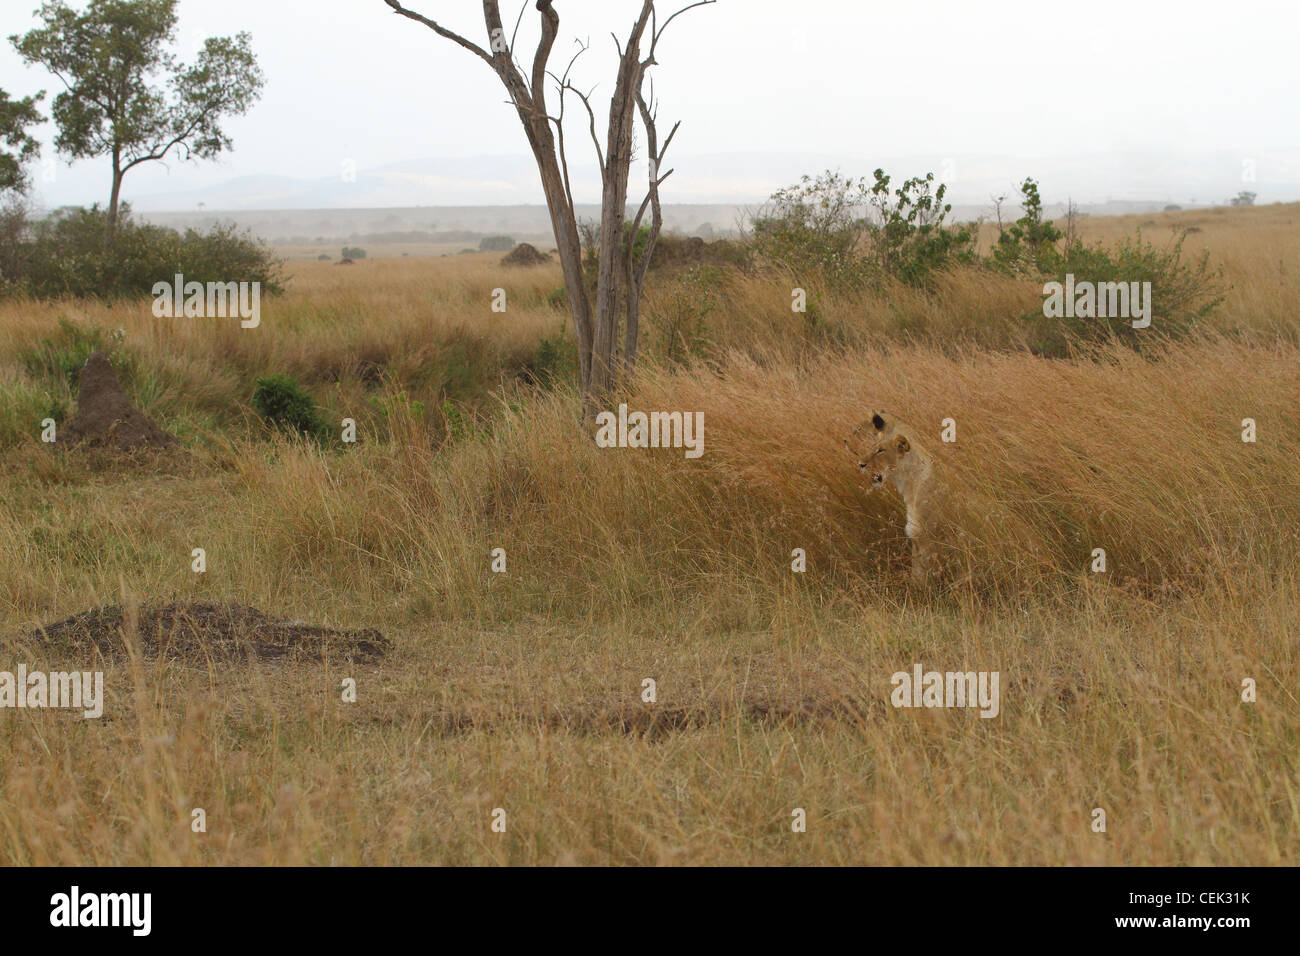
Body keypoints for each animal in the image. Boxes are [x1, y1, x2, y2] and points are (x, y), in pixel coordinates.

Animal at [846, 411, 950, 587]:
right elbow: (917, 572)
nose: (860, 464)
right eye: (872, 447)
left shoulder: (928, 536)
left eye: (880, 451)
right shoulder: (917, 536)